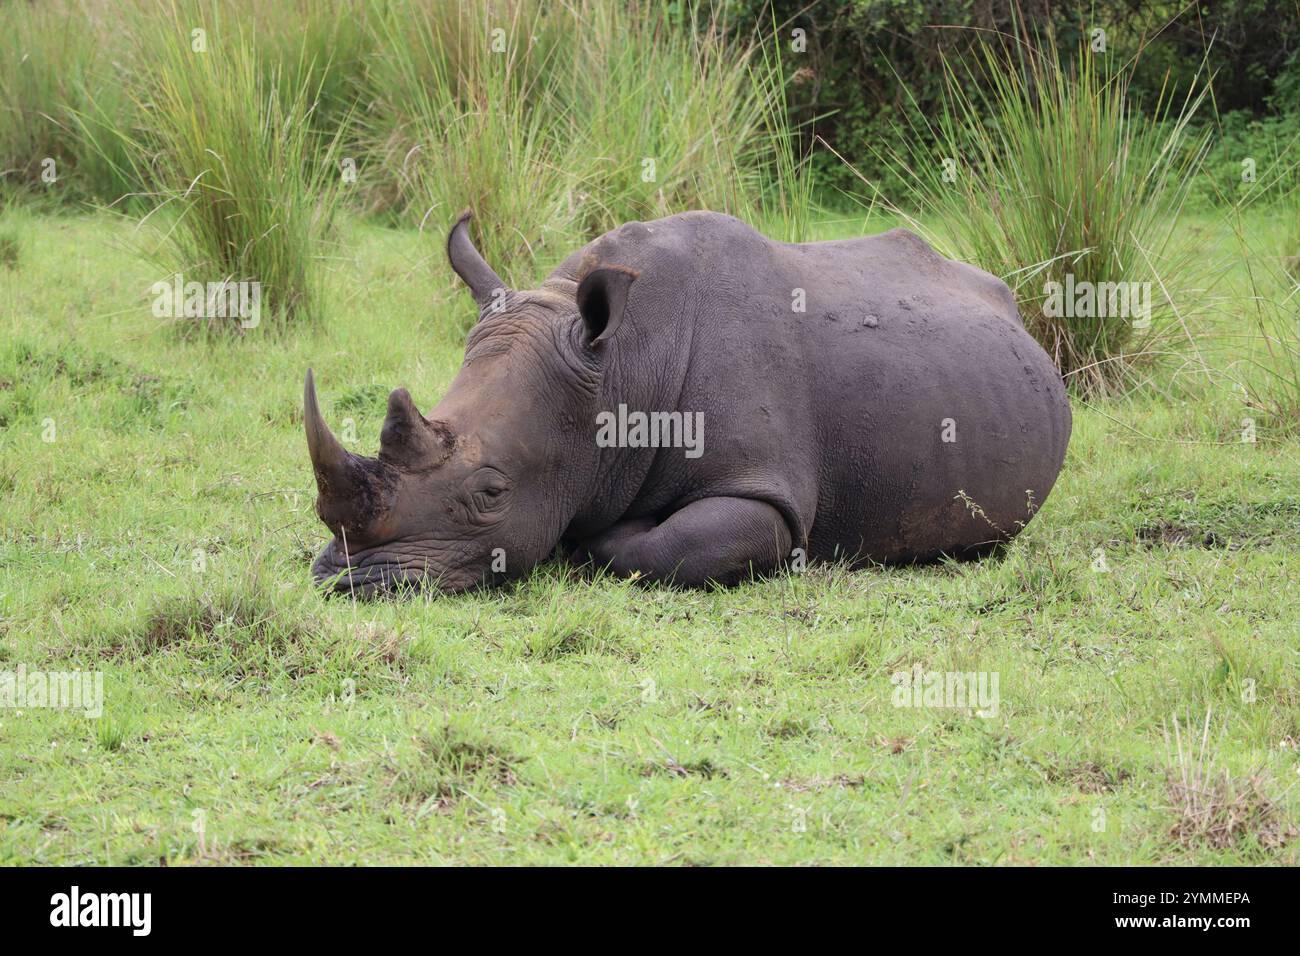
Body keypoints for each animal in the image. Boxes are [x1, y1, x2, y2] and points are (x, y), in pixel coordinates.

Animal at [305, 211, 1071, 596]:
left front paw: (593, 541)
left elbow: (676, 545)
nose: (345, 579)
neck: (619, 369)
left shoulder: (765, 492)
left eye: (491, 493)